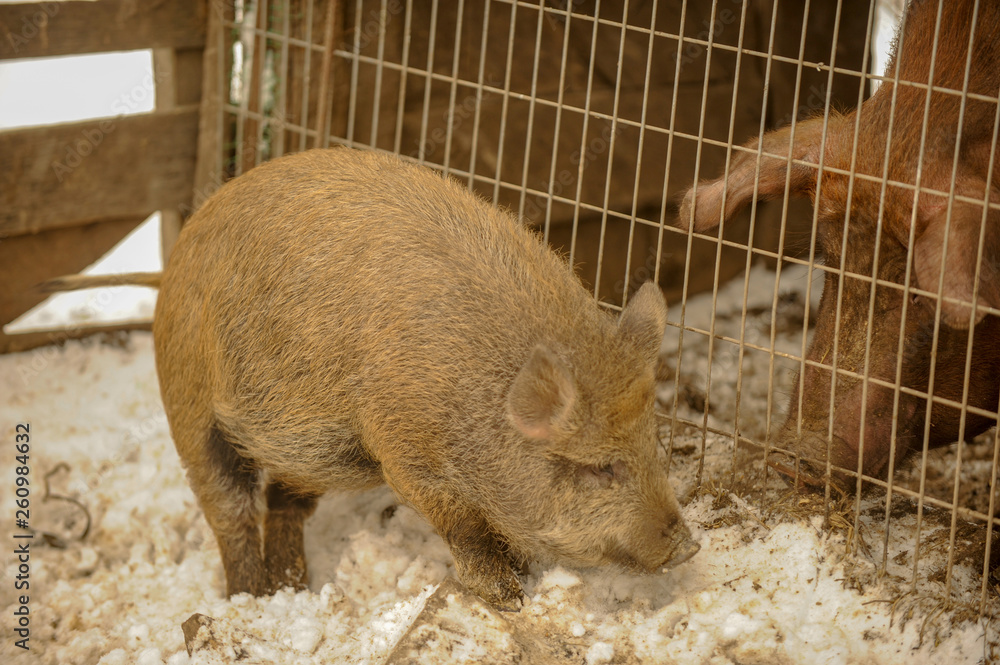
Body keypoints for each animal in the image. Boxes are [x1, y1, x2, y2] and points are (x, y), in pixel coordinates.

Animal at [138, 147, 699, 610]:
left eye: (652, 444)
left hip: (301, 450)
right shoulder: (403, 449)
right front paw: (509, 597)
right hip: (188, 402)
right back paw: (248, 601)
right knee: (228, 508)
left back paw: (293, 589)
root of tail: (182, 245)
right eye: (601, 468)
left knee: (283, 503)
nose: (689, 545)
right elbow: (461, 523)